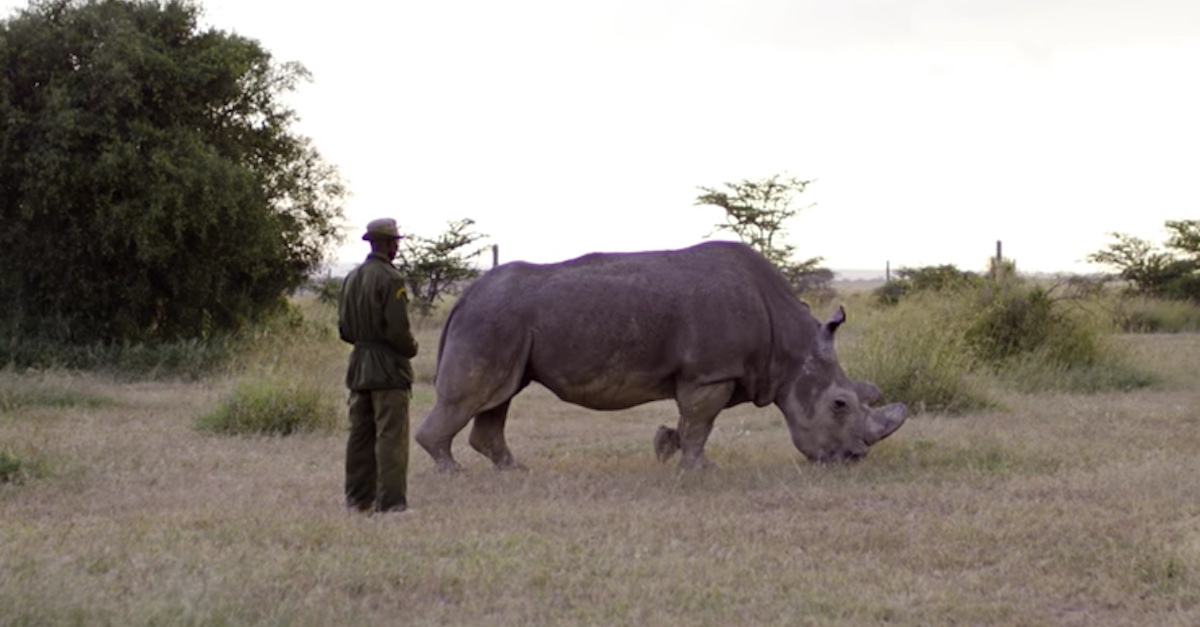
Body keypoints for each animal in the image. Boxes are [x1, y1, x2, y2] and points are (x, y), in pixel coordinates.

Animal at [415, 240, 906, 471]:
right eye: (840, 404)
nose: (853, 459)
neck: (789, 346)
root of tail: (465, 295)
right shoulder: (711, 372)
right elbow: (702, 423)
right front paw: (698, 468)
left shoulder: (714, 372)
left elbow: (692, 421)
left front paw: (666, 447)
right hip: (491, 320)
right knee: (476, 396)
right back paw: (453, 471)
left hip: (502, 325)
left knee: (499, 397)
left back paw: (515, 470)